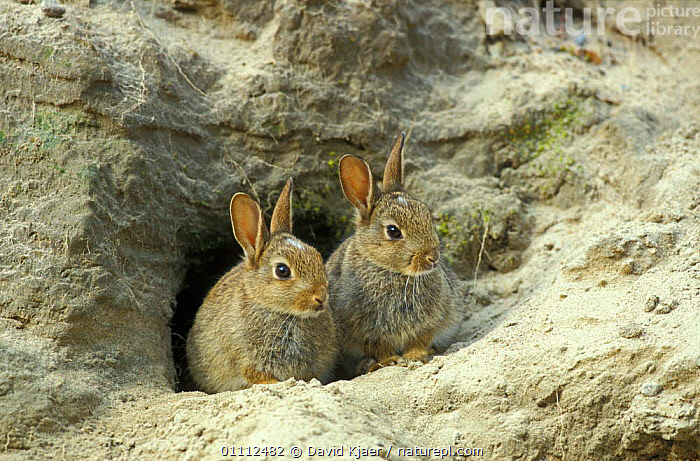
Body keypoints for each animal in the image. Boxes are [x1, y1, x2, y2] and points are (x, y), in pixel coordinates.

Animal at [326, 132, 462, 376]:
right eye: (393, 231)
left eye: (428, 216)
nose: (433, 257)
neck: (391, 271)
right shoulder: (367, 331)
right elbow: (378, 346)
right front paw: (389, 361)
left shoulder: (431, 321)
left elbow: (420, 339)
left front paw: (416, 356)